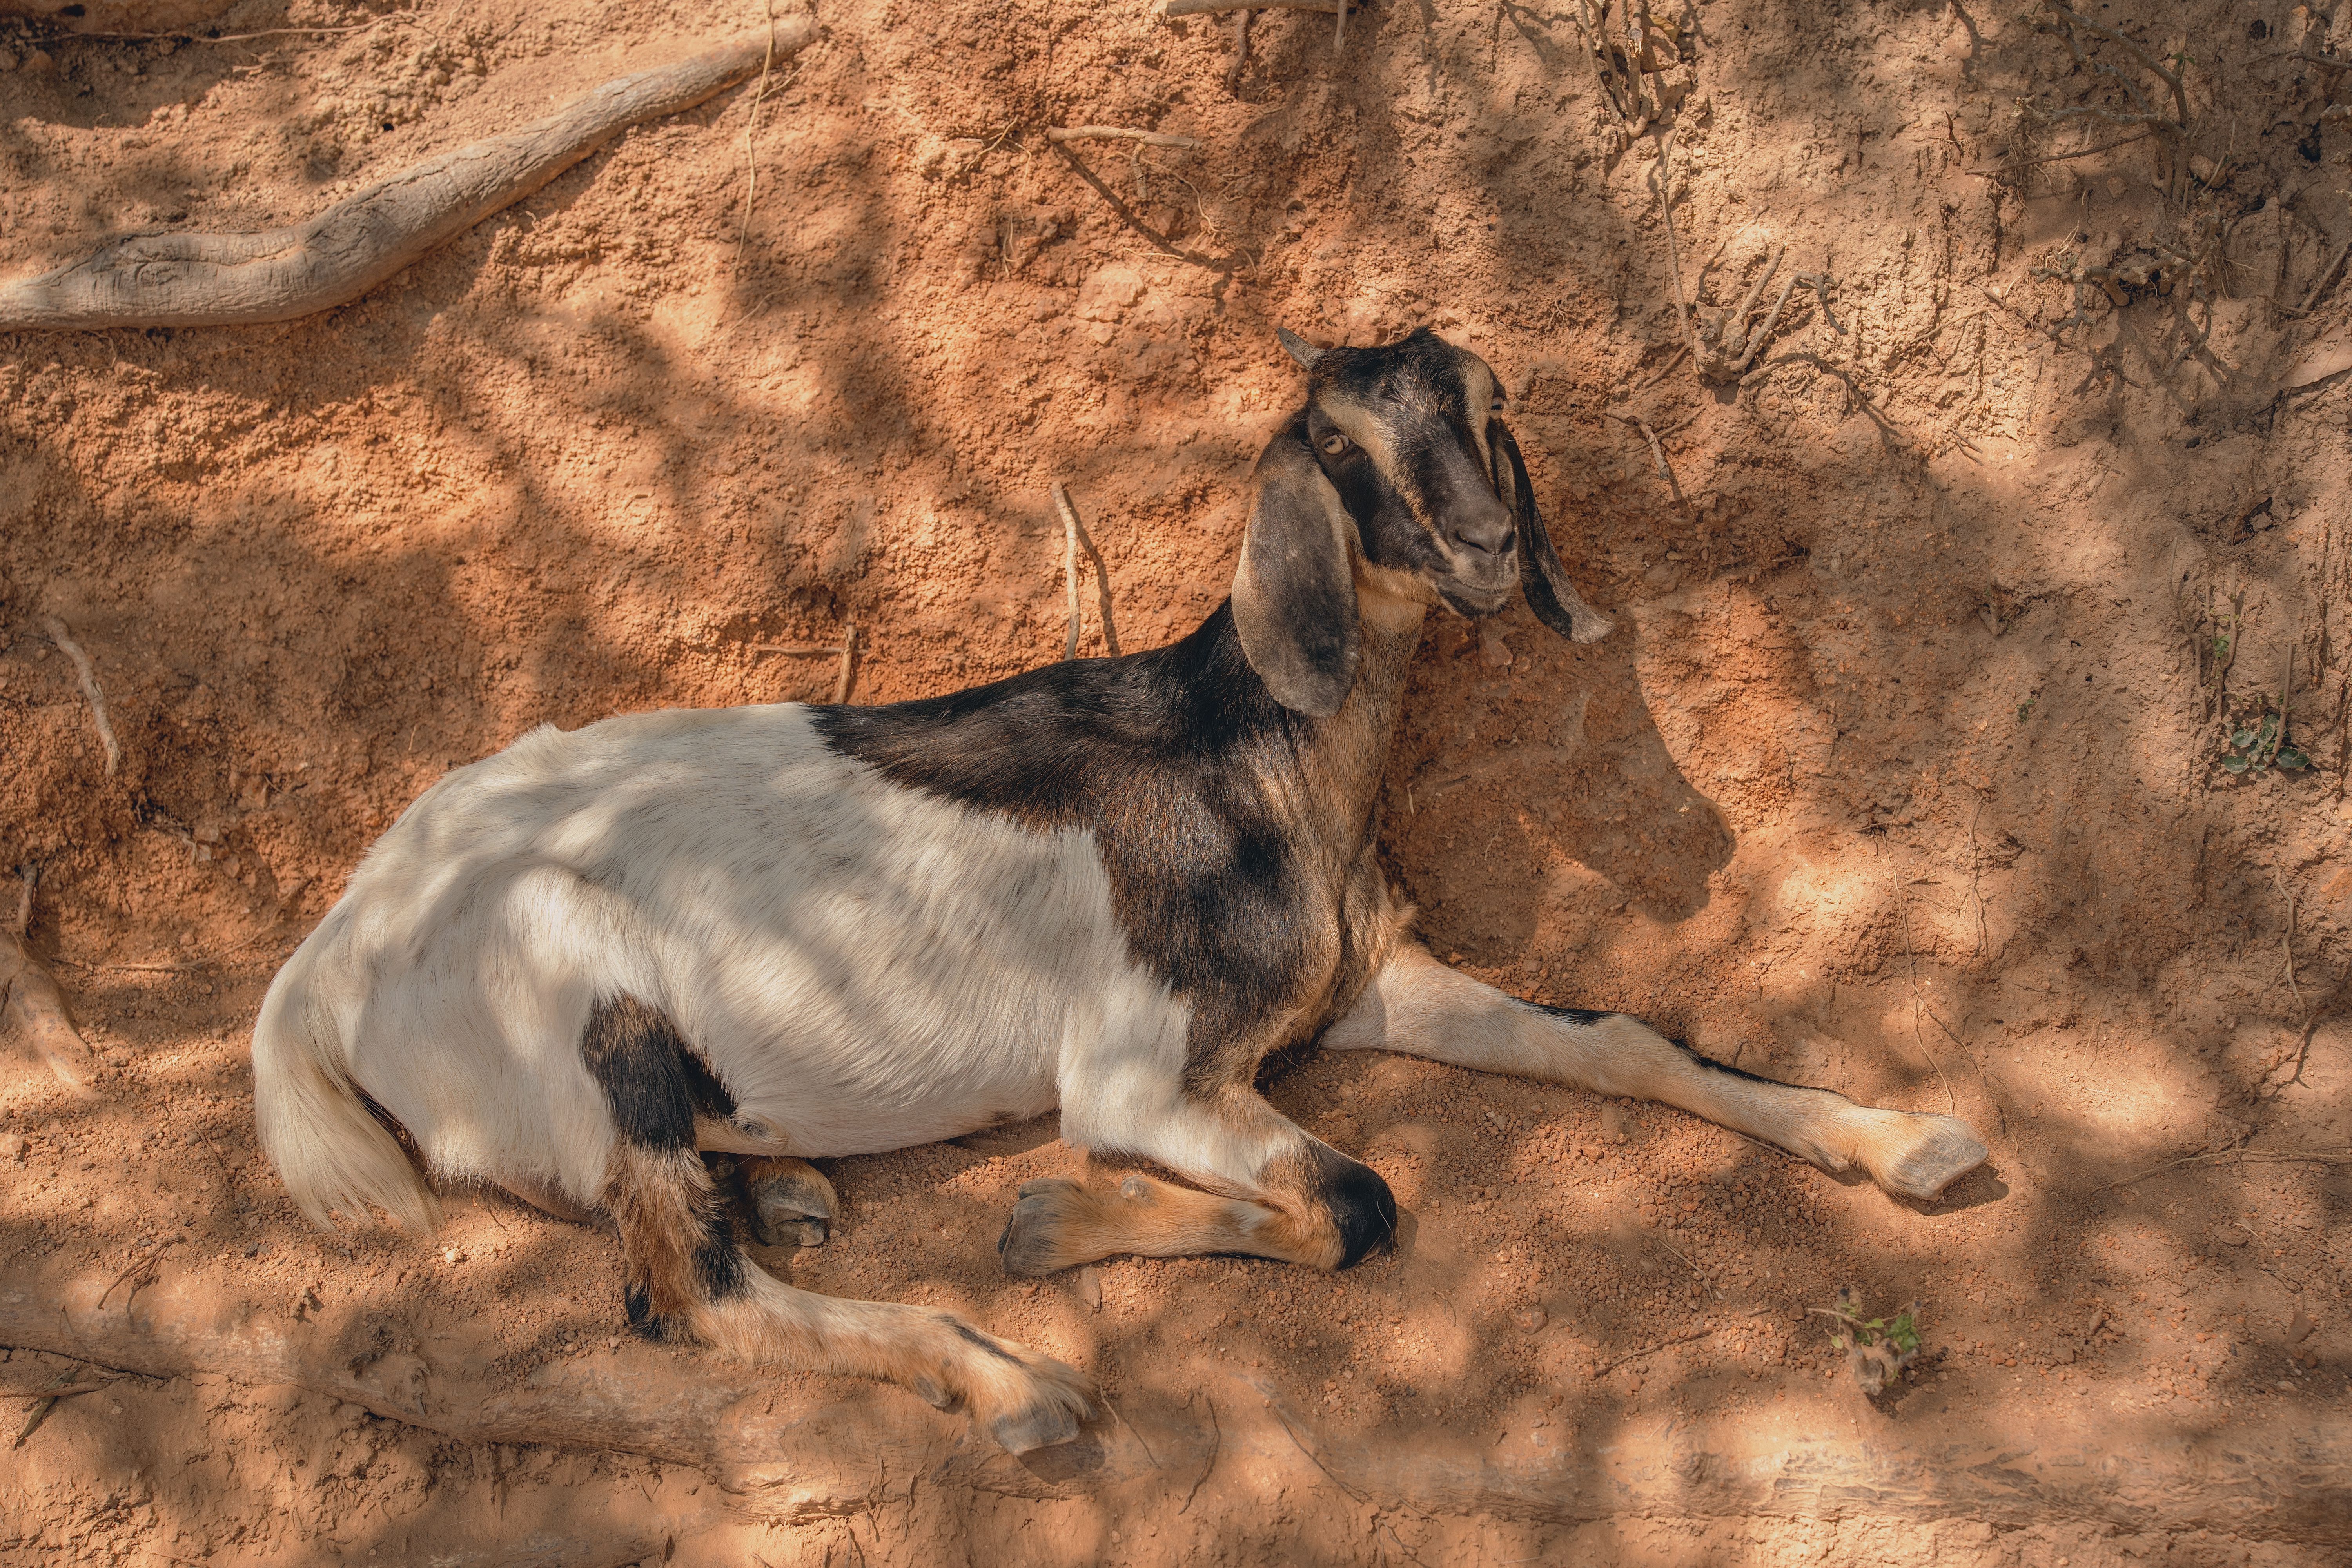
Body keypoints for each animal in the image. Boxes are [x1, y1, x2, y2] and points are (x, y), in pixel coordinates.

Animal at [251, 326, 1988, 1454]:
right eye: (1339, 446)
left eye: (1490, 408)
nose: (1493, 547)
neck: (1249, 751)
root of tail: (325, 965)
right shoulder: (1141, 1069)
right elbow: (1354, 1198)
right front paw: (1057, 1214)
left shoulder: (1368, 982)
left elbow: (1626, 1034)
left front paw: (1911, 1140)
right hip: (577, 987)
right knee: (687, 1294)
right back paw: (1008, 1381)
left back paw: (794, 1183)